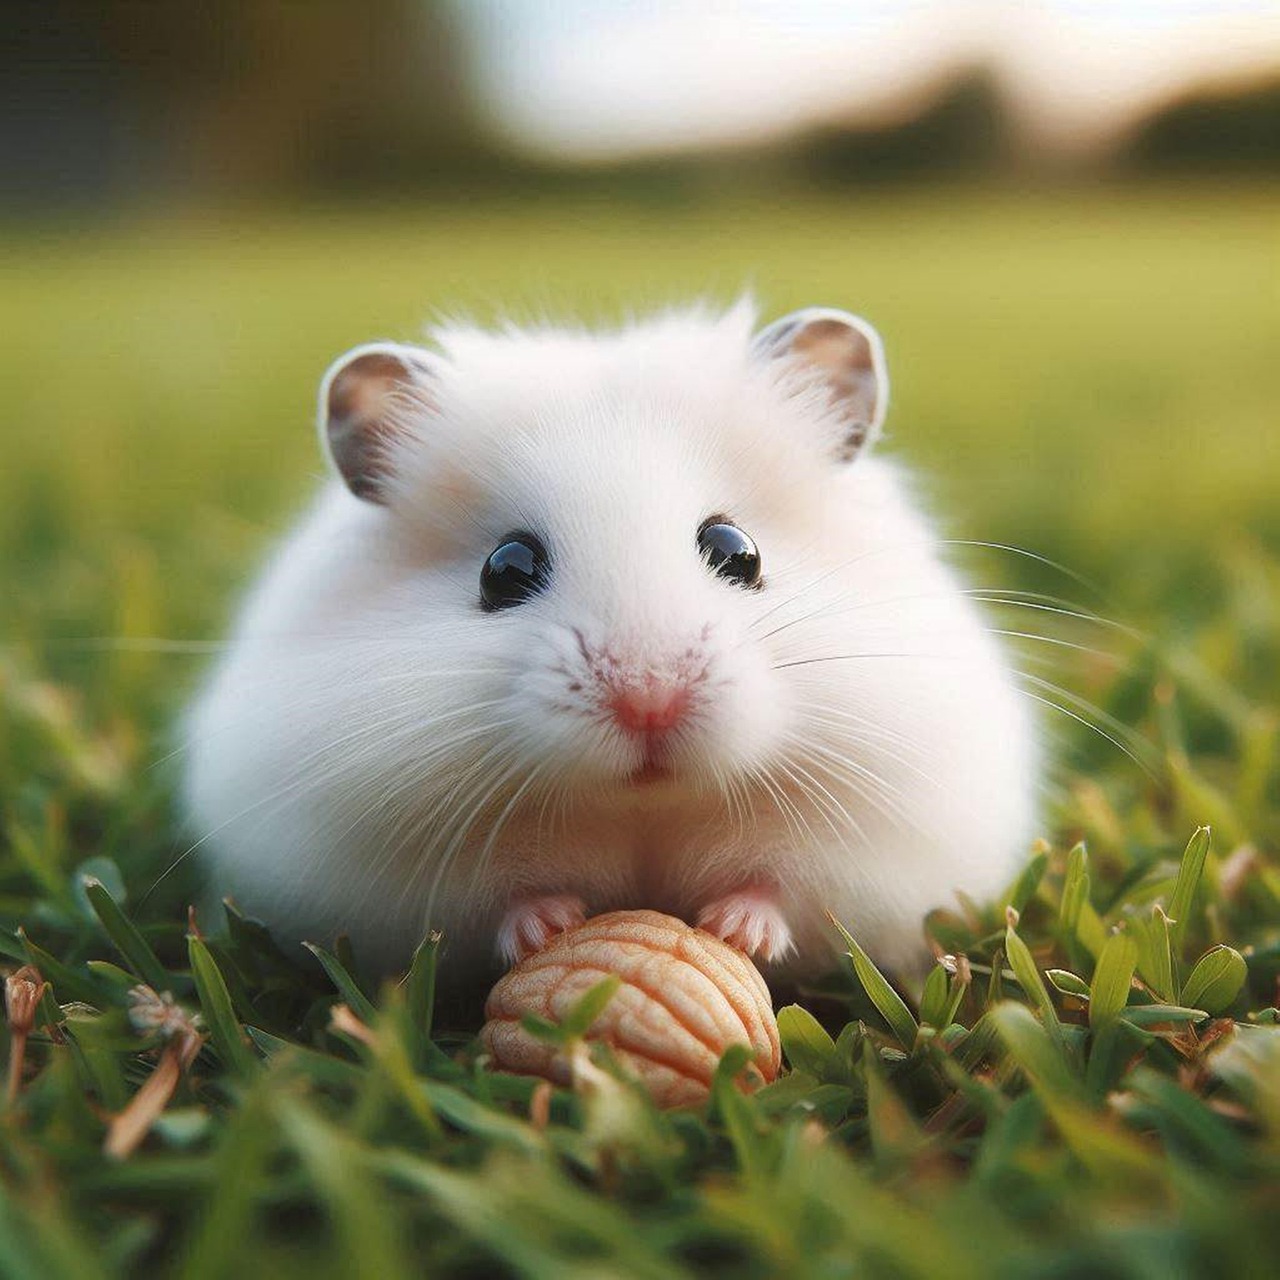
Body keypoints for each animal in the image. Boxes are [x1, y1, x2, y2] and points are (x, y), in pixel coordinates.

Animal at [182, 301, 1038, 980]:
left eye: (737, 549)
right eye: (505, 568)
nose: (649, 701)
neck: (642, 809)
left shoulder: (875, 845)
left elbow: (781, 890)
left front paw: (734, 932)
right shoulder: (380, 869)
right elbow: (499, 903)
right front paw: (550, 927)